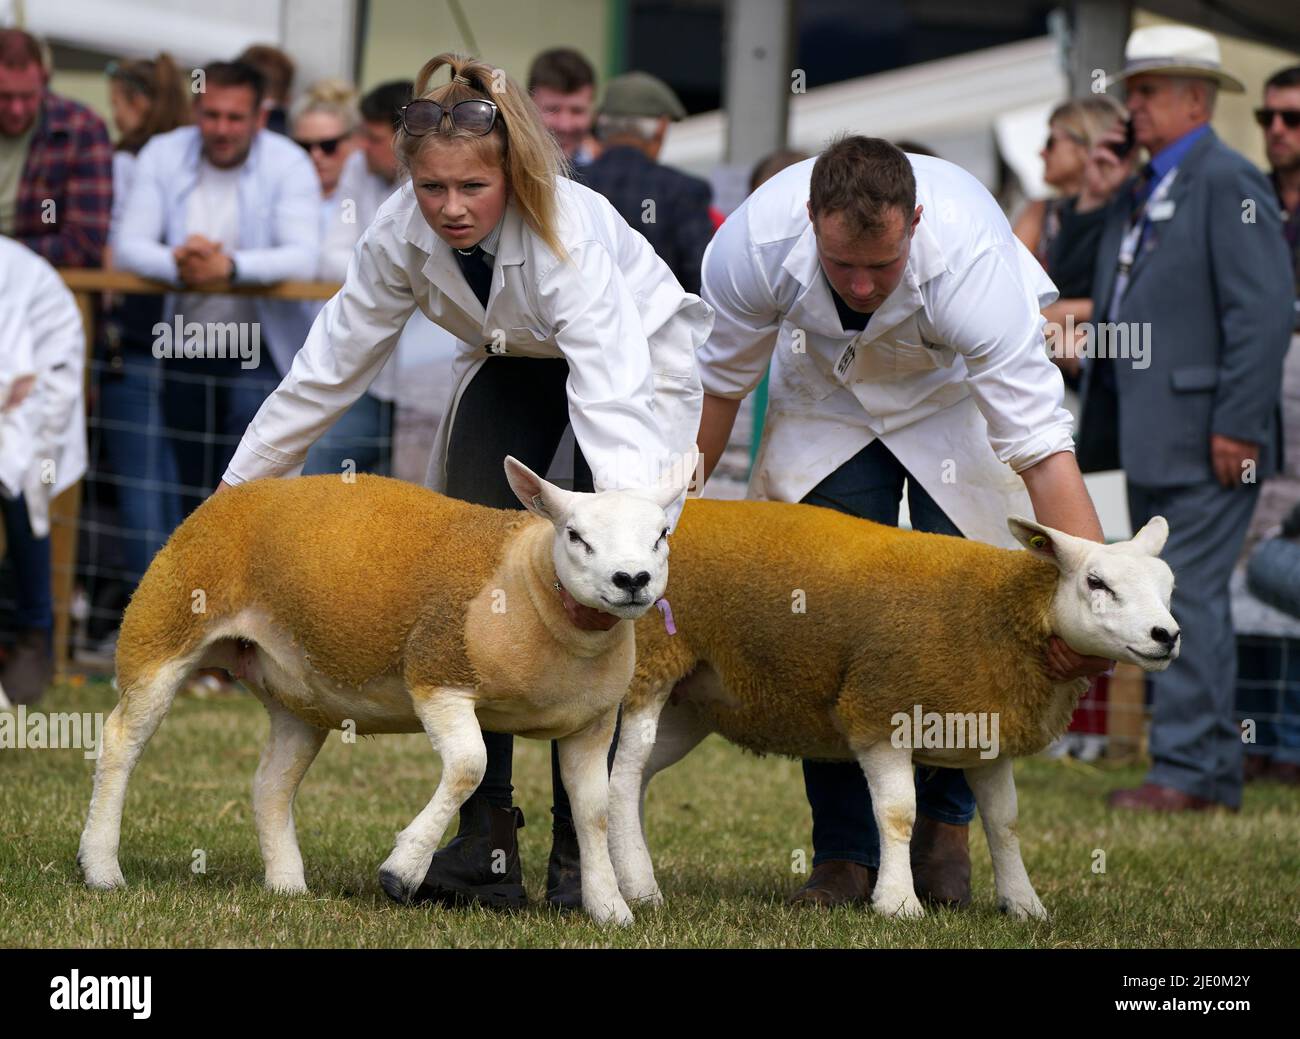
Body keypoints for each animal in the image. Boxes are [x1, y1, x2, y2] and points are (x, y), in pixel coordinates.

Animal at [78, 457, 692, 926]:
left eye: (661, 536)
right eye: (575, 536)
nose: (632, 580)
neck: (535, 587)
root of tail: (231, 495)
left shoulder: (591, 725)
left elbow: (593, 812)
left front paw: (609, 907)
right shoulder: (438, 677)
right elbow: (469, 766)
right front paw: (403, 870)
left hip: (298, 694)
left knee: (270, 784)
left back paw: (287, 885)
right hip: (162, 631)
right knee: (119, 743)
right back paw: (101, 867)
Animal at [611, 498, 1178, 920]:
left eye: (1169, 588)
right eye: (1096, 583)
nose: (1166, 636)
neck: (999, 611)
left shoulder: (987, 732)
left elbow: (1005, 823)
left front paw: (1024, 905)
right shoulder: (879, 711)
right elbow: (898, 812)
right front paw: (898, 904)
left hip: (690, 702)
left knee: (633, 778)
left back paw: (625, 869)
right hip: (652, 663)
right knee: (623, 778)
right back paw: (641, 888)